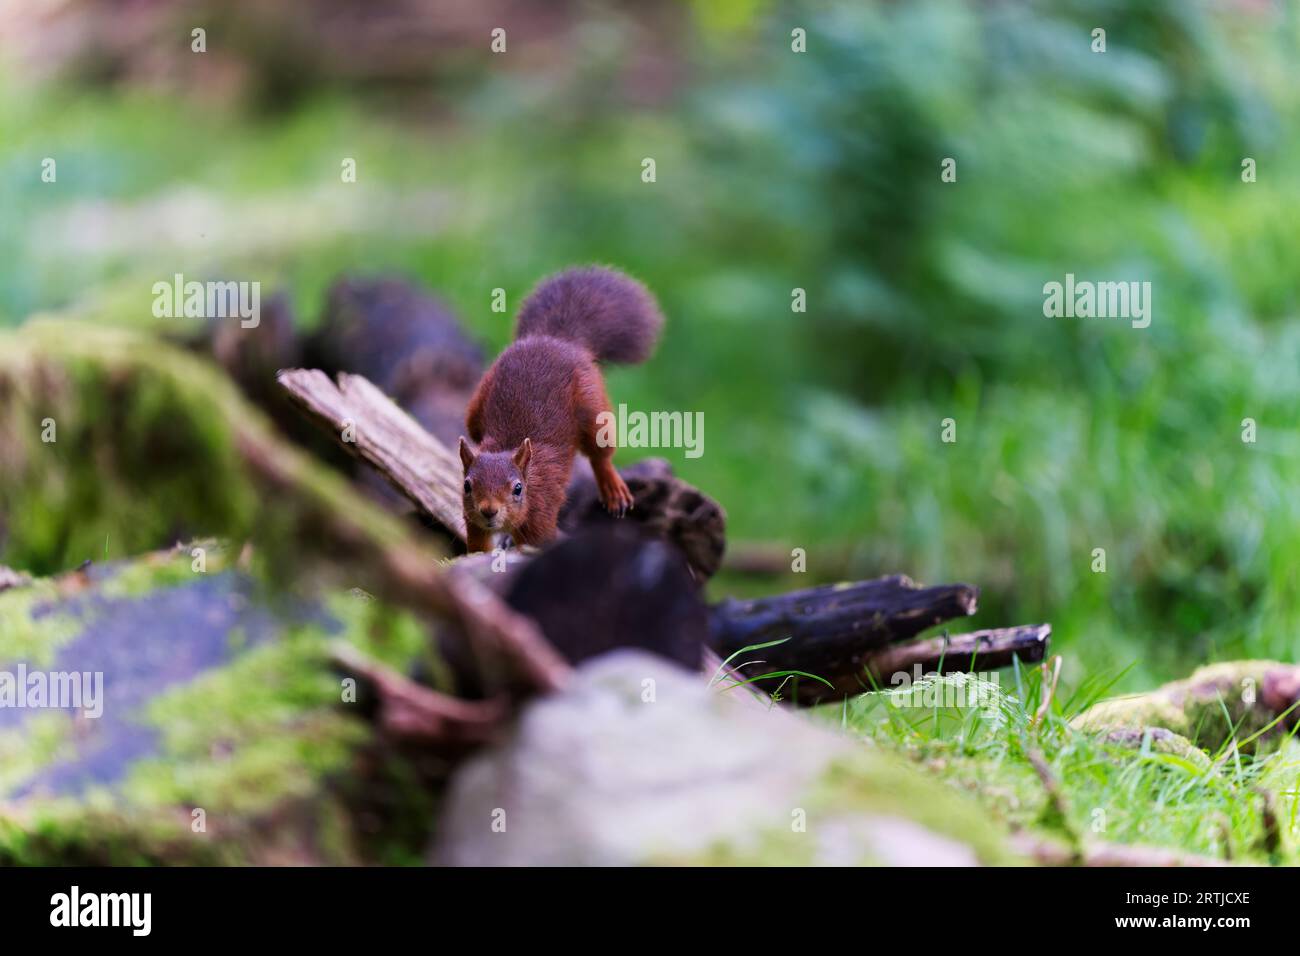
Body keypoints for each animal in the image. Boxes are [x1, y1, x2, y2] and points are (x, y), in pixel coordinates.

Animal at [458, 266, 665, 553]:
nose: (489, 511)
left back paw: (613, 488)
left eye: (518, 488)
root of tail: (557, 338)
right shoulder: (473, 522)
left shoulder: (541, 516)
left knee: (600, 454)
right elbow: (478, 549)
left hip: (592, 407)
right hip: (477, 407)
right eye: (467, 485)